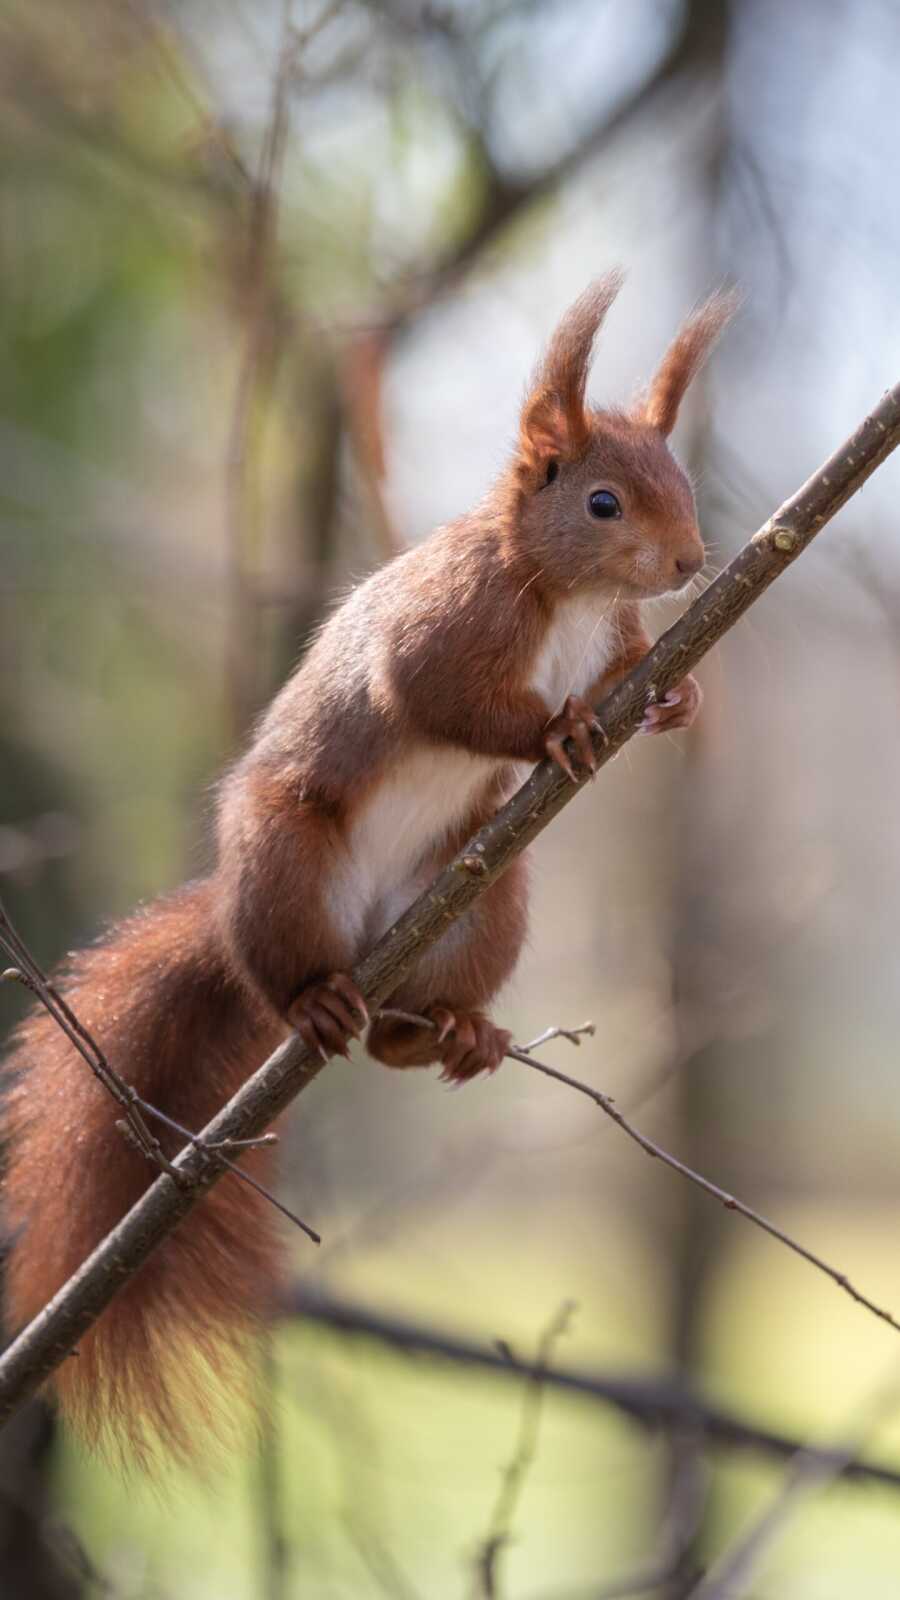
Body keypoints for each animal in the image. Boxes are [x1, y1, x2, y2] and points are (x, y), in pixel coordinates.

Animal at [1, 272, 733, 1463]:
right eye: (603, 504)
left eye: (682, 485)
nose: (689, 566)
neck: (564, 596)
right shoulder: (449, 627)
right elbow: (442, 696)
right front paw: (557, 731)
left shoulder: (617, 640)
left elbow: (630, 674)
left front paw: (678, 701)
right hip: (287, 863)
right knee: (283, 978)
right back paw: (316, 1002)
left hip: (490, 905)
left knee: (404, 1035)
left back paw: (450, 1033)